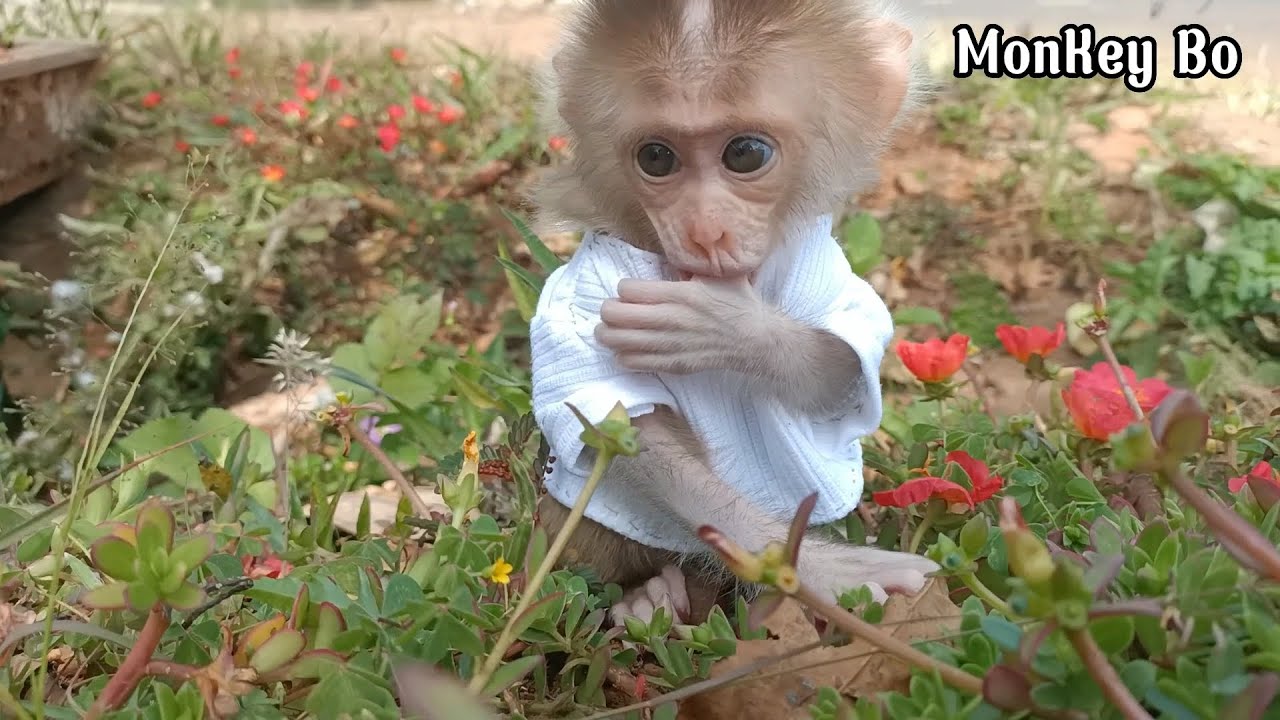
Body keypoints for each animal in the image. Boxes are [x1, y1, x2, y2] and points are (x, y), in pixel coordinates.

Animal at [525, 0, 941, 627]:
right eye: (656, 157)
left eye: (746, 154)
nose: (703, 230)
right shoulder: (583, 287)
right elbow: (621, 423)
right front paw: (815, 569)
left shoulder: (822, 264)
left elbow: (841, 371)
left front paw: (727, 329)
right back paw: (642, 594)